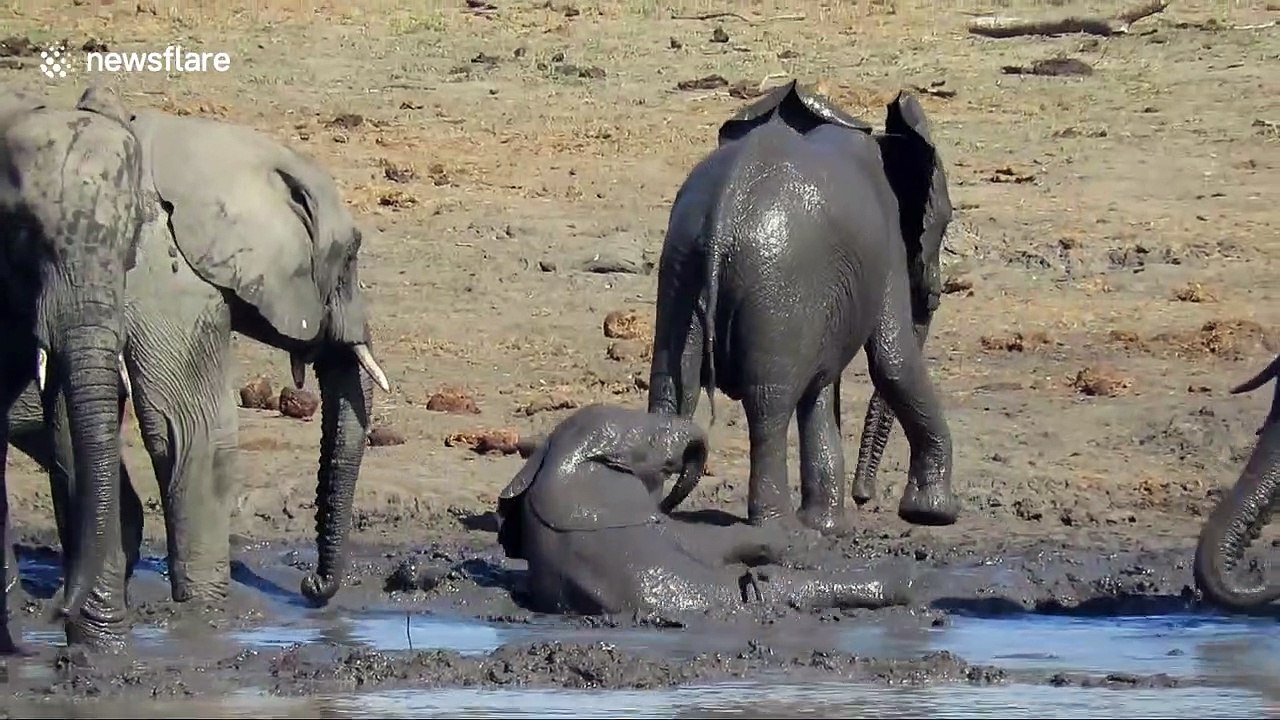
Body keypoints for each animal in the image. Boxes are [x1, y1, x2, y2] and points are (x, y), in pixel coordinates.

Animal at [646, 81, 957, 534]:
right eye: (946, 221)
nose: (865, 497)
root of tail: (725, 211)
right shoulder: (886, 246)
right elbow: (892, 360)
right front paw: (935, 513)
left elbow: (822, 387)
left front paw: (826, 526)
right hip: (776, 282)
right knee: (769, 403)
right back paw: (777, 526)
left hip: (681, 267)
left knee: (671, 392)